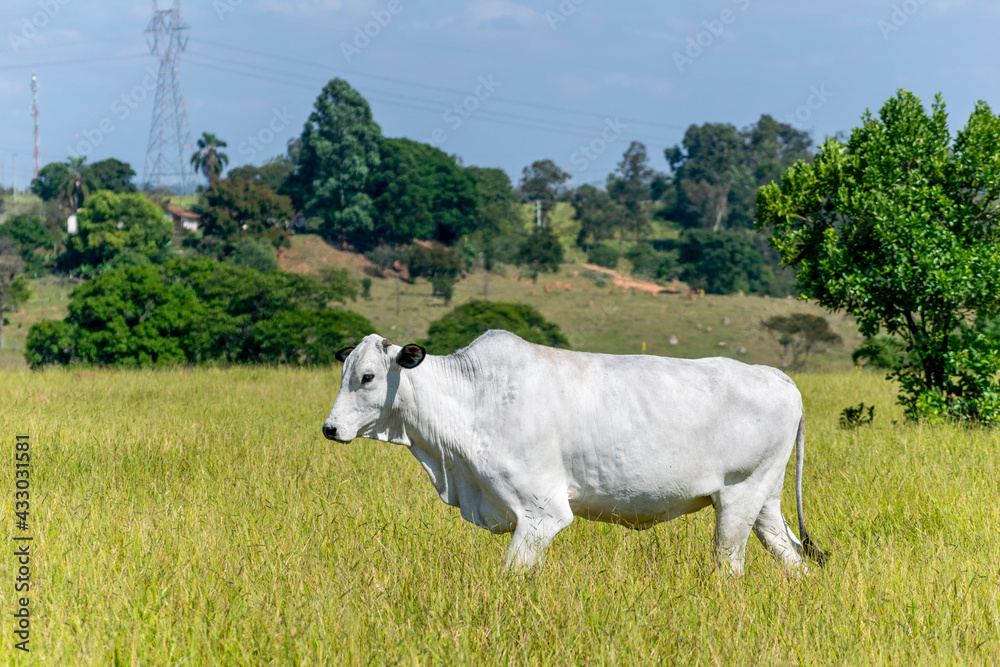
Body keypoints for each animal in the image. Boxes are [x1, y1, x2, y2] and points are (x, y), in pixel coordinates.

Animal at [323, 330, 827, 574]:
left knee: (729, 567)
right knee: (794, 561)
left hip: (739, 499)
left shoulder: (541, 512)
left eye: (368, 377)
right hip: (765, 502)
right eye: (345, 372)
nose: (330, 428)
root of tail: (781, 378)